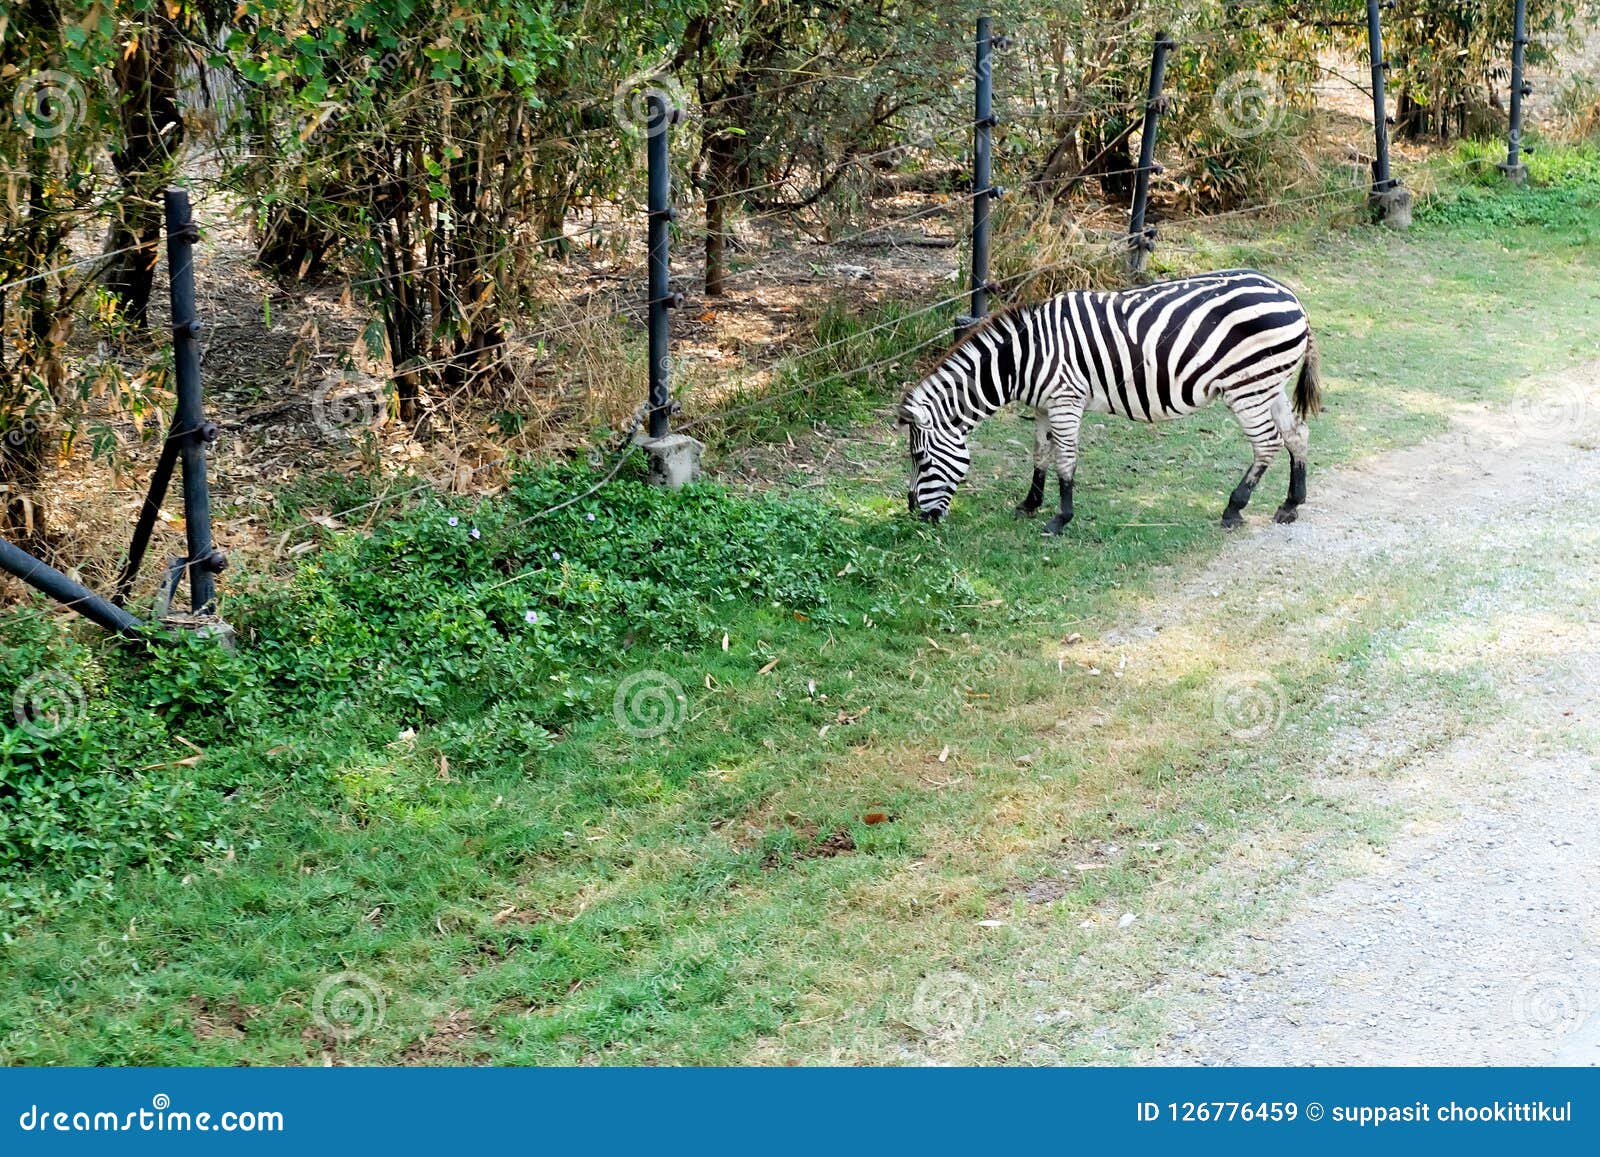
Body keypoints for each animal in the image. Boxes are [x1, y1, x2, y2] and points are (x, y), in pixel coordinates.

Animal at [899, 269, 1321, 533]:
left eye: (920, 459)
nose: (915, 515)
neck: (1023, 360)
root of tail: (1292, 297)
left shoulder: (1065, 400)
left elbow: (1065, 460)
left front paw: (1061, 518)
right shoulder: (1043, 406)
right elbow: (1039, 453)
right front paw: (1029, 504)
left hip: (1246, 387)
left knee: (1267, 443)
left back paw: (1234, 508)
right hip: (1269, 384)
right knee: (1297, 434)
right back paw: (1291, 504)